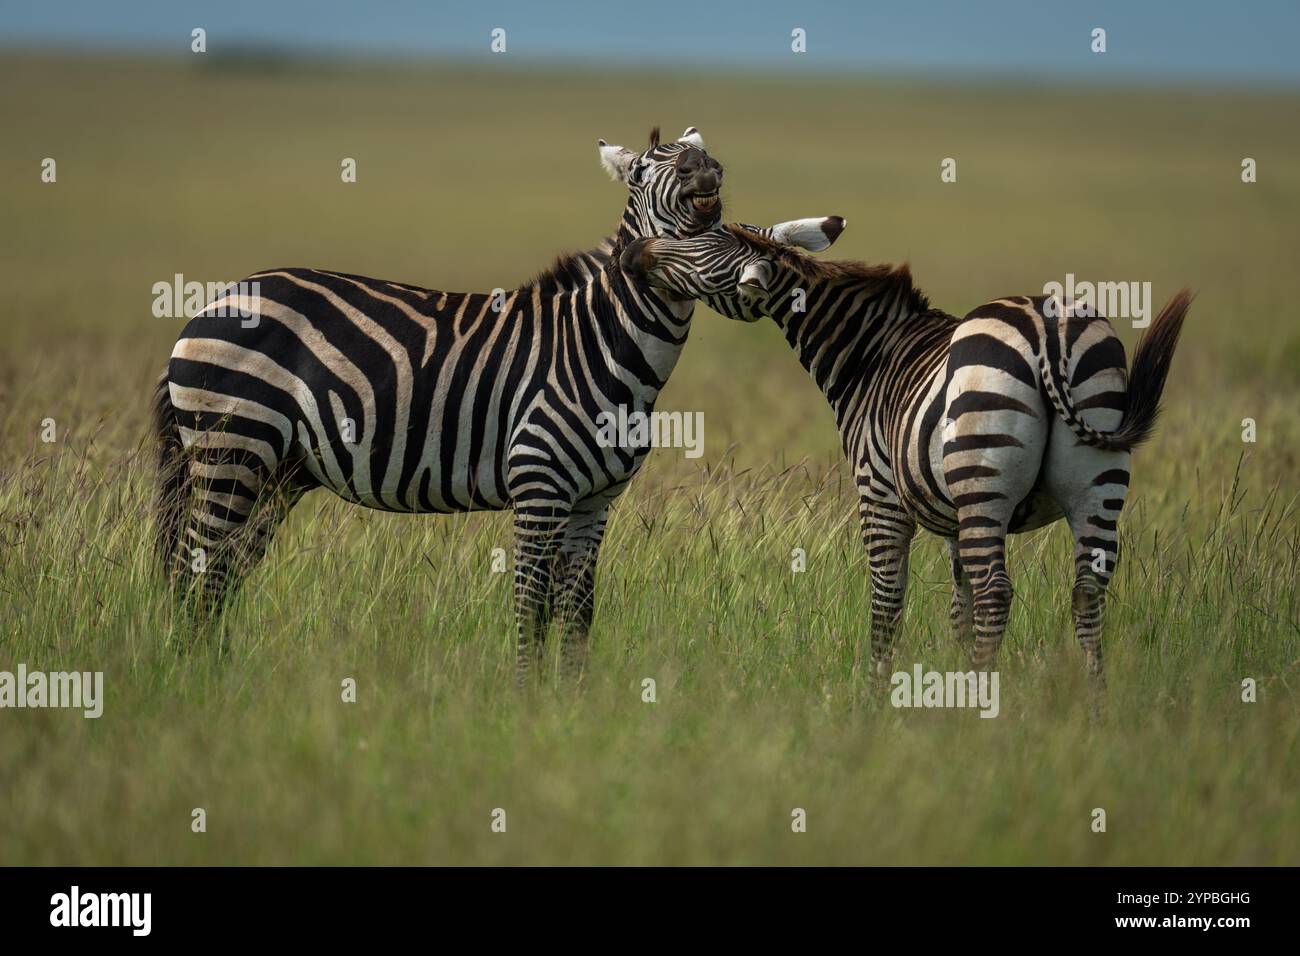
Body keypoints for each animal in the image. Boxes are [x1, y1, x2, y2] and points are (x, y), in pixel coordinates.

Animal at [151, 125, 748, 679]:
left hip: (277, 472)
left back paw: (216, 670)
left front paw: (570, 700)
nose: (705, 169)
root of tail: (210, 304)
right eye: (642, 172)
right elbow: (531, 605)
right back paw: (189, 675)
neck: (600, 342)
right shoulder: (539, 488)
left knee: (223, 572)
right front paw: (528, 699)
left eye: (702, 153)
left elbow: (578, 610)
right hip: (231, 447)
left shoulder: (594, 502)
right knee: (193, 568)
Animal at [623, 223, 1190, 685]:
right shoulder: (953, 519)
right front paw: (954, 680)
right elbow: (959, 611)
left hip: (985, 479)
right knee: (1085, 592)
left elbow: (887, 604)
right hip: (1095, 482)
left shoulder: (880, 496)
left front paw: (875, 700)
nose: (632, 253)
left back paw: (984, 713)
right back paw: (1094, 707)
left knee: (996, 593)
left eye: (700, 241)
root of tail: (1046, 328)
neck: (870, 354)